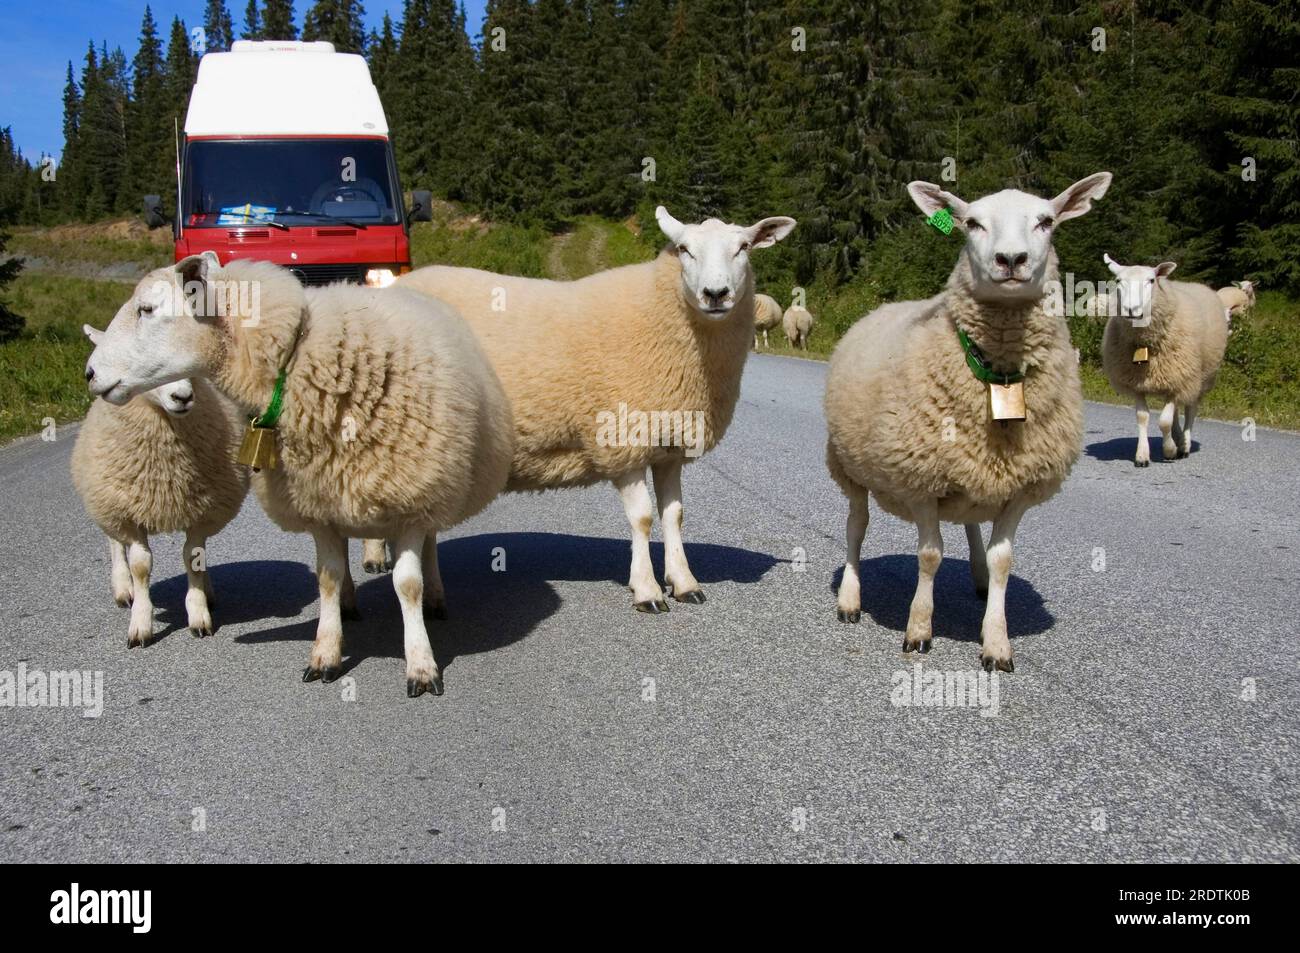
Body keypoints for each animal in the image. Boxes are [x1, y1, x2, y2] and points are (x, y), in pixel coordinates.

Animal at [70, 360, 249, 647]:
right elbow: (140, 566)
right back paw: (123, 589)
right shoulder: (129, 515)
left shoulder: (201, 511)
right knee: (114, 543)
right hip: (107, 503)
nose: (183, 397)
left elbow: (193, 557)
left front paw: (198, 613)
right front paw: (141, 624)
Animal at [395, 206, 796, 613]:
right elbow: (643, 518)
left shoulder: (668, 446)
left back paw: (434, 597)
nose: (716, 294)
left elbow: (674, 515)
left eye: (743, 248)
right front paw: (647, 590)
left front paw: (684, 582)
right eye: (684, 249)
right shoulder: (623, 439)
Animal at [825, 172, 1112, 673]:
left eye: (1046, 221)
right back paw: (850, 599)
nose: (1011, 260)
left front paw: (996, 642)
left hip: (973, 476)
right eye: (971, 223)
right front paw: (919, 630)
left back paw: (976, 578)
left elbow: (1002, 561)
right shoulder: (921, 480)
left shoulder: (1018, 488)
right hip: (849, 466)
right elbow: (929, 556)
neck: (999, 373)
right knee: (856, 526)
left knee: (971, 524)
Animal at [1100, 253, 1229, 466]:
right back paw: (1178, 438)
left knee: (1190, 409)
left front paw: (1169, 450)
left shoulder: (1179, 378)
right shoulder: (1137, 383)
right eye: (1118, 280)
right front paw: (1142, 455)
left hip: (1197, 378)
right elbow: (1143, 417)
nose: (1131, 309)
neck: (1145, 344)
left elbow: (1164, 421)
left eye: (1151, 280)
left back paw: (1184, 444)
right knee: (1176, 409)